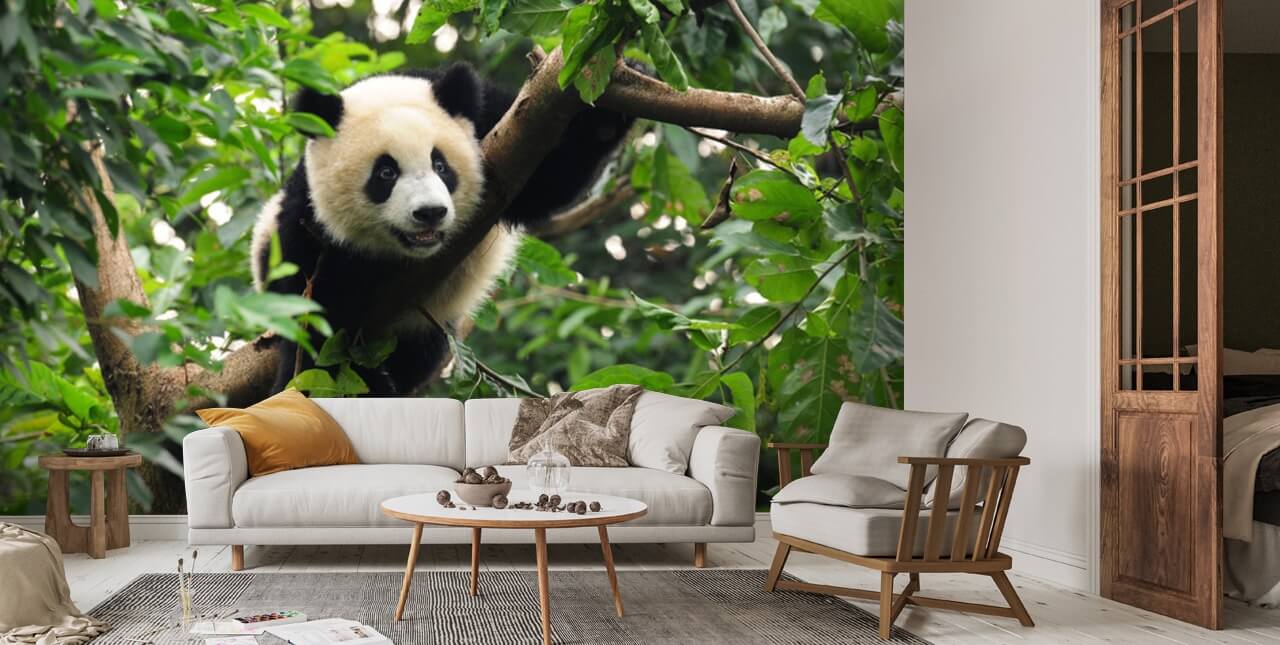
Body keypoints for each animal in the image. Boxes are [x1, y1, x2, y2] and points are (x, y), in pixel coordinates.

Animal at [250, 63, 632, 395]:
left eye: (440, 164)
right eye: (385, 173)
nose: (430, 213)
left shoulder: (495, 123)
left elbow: (549, 179)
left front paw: (611, 99)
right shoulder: (308, 224)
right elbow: (319, 317)